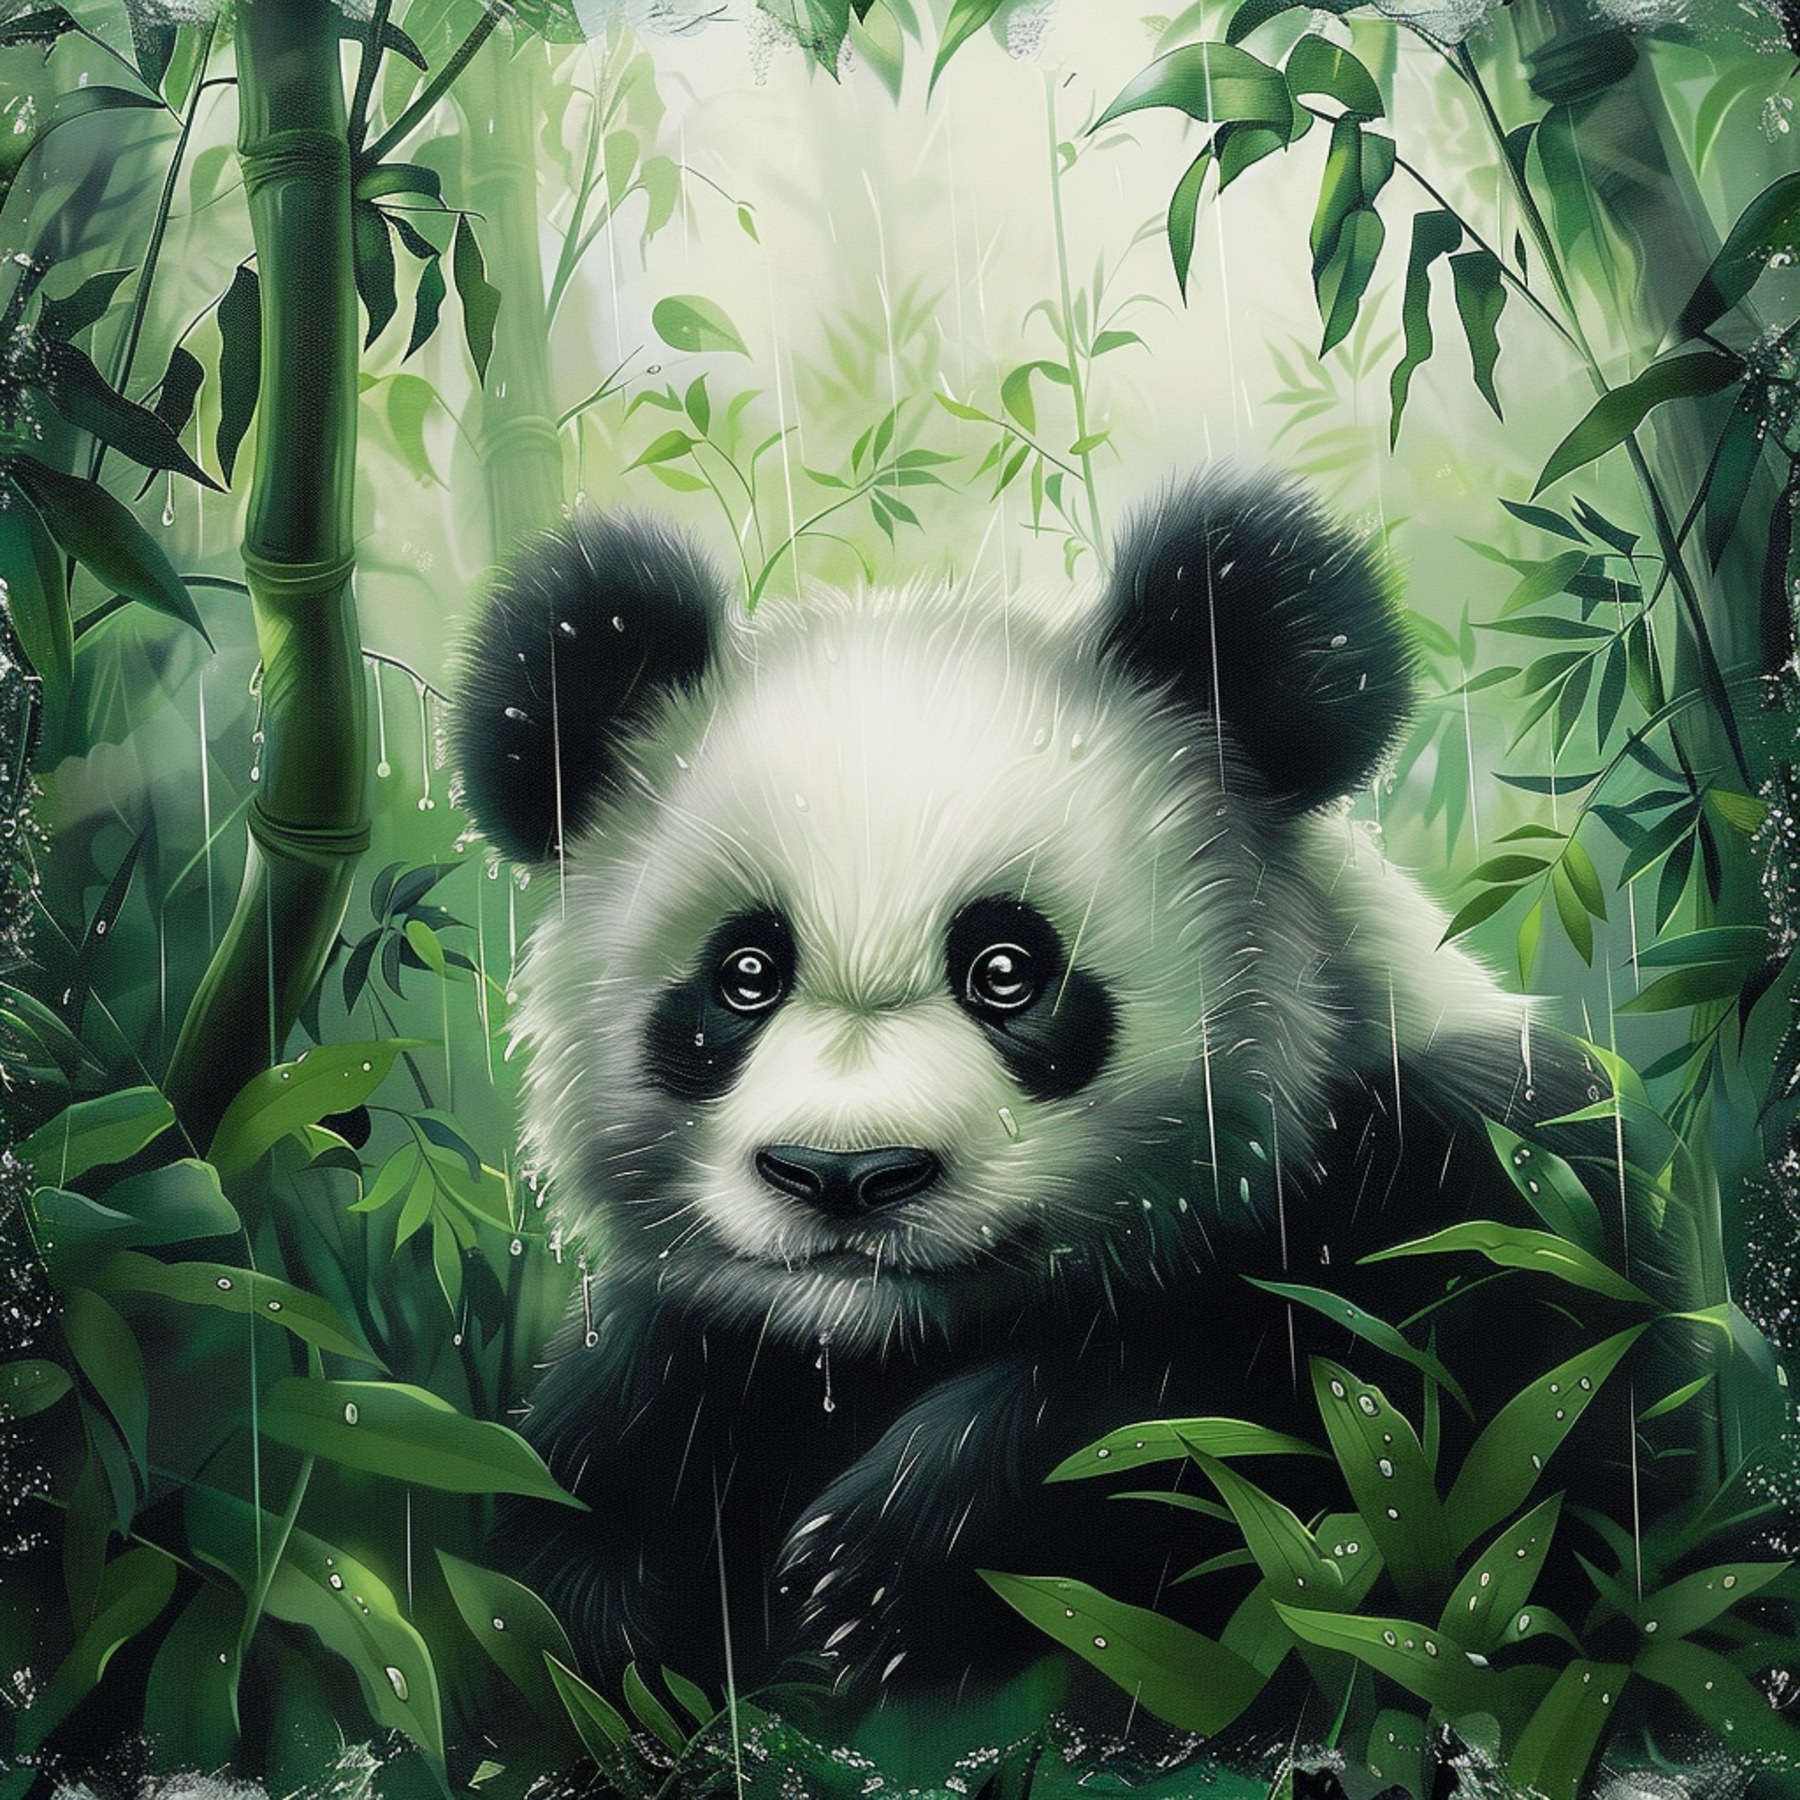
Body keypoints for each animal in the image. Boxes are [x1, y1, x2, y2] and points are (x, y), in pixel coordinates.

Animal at [450, 472, 1700, 1721]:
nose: (843, 1175)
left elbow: (1313, 1427)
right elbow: (568, 1547)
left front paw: (880, 1566)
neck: (881, 1345)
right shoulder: (671, 1356)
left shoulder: (1463, 1176)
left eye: (1008, 970)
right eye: (744, 974)